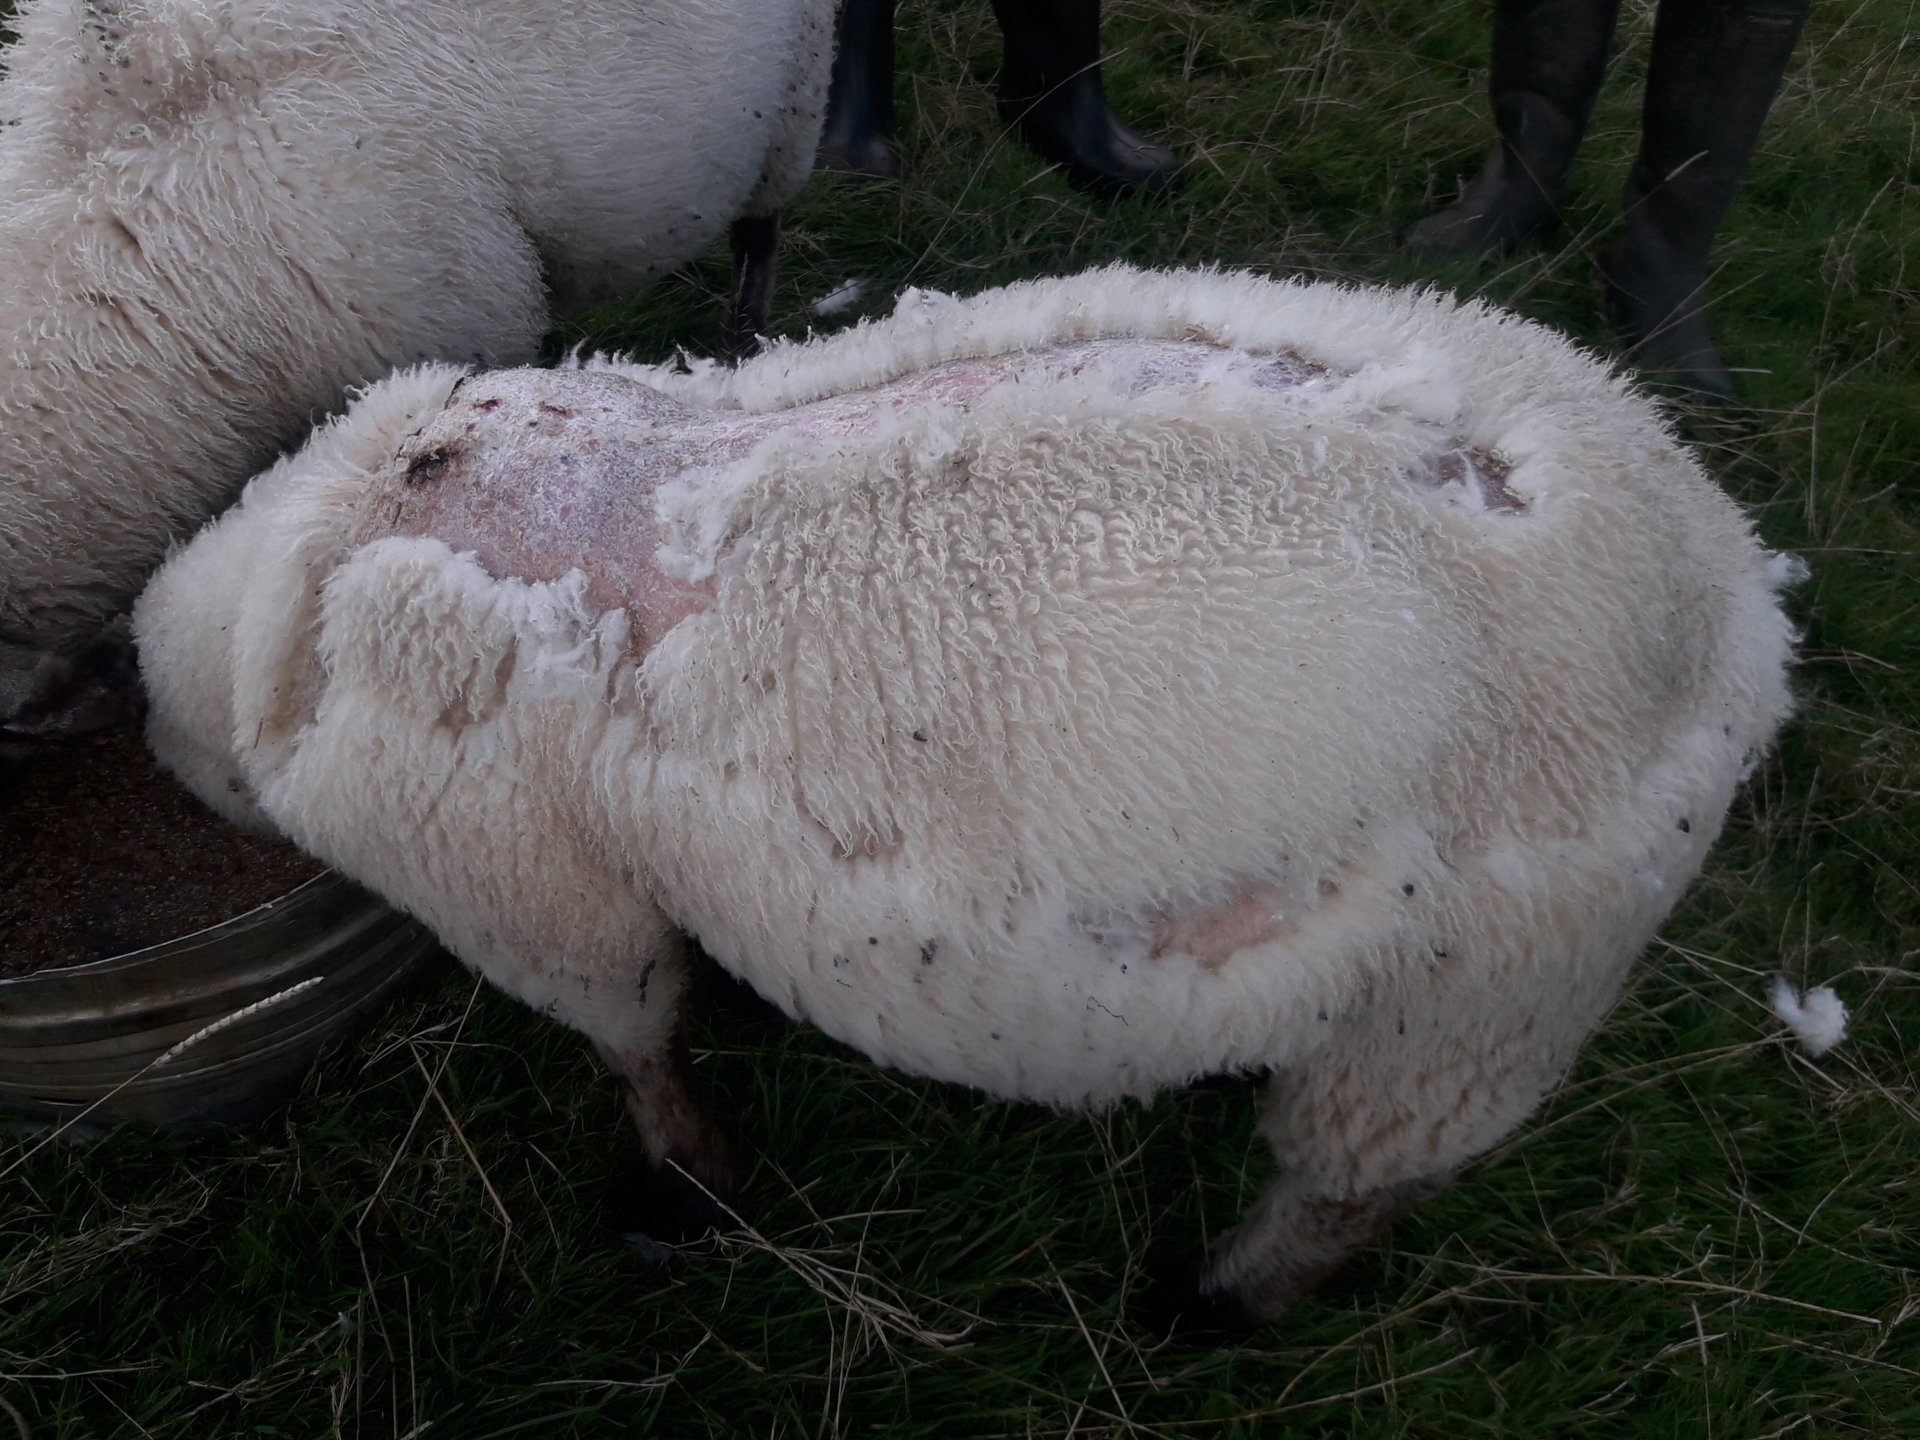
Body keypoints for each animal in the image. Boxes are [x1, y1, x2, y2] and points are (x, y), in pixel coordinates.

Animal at [134, 265, 1798, 1333]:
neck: (336, 536)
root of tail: (1729, 590)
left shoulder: (538, 892)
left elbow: (640, 1045)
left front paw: (689, 1200)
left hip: (1478, 995)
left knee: (1355, 1193)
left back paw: (1214, 1308)